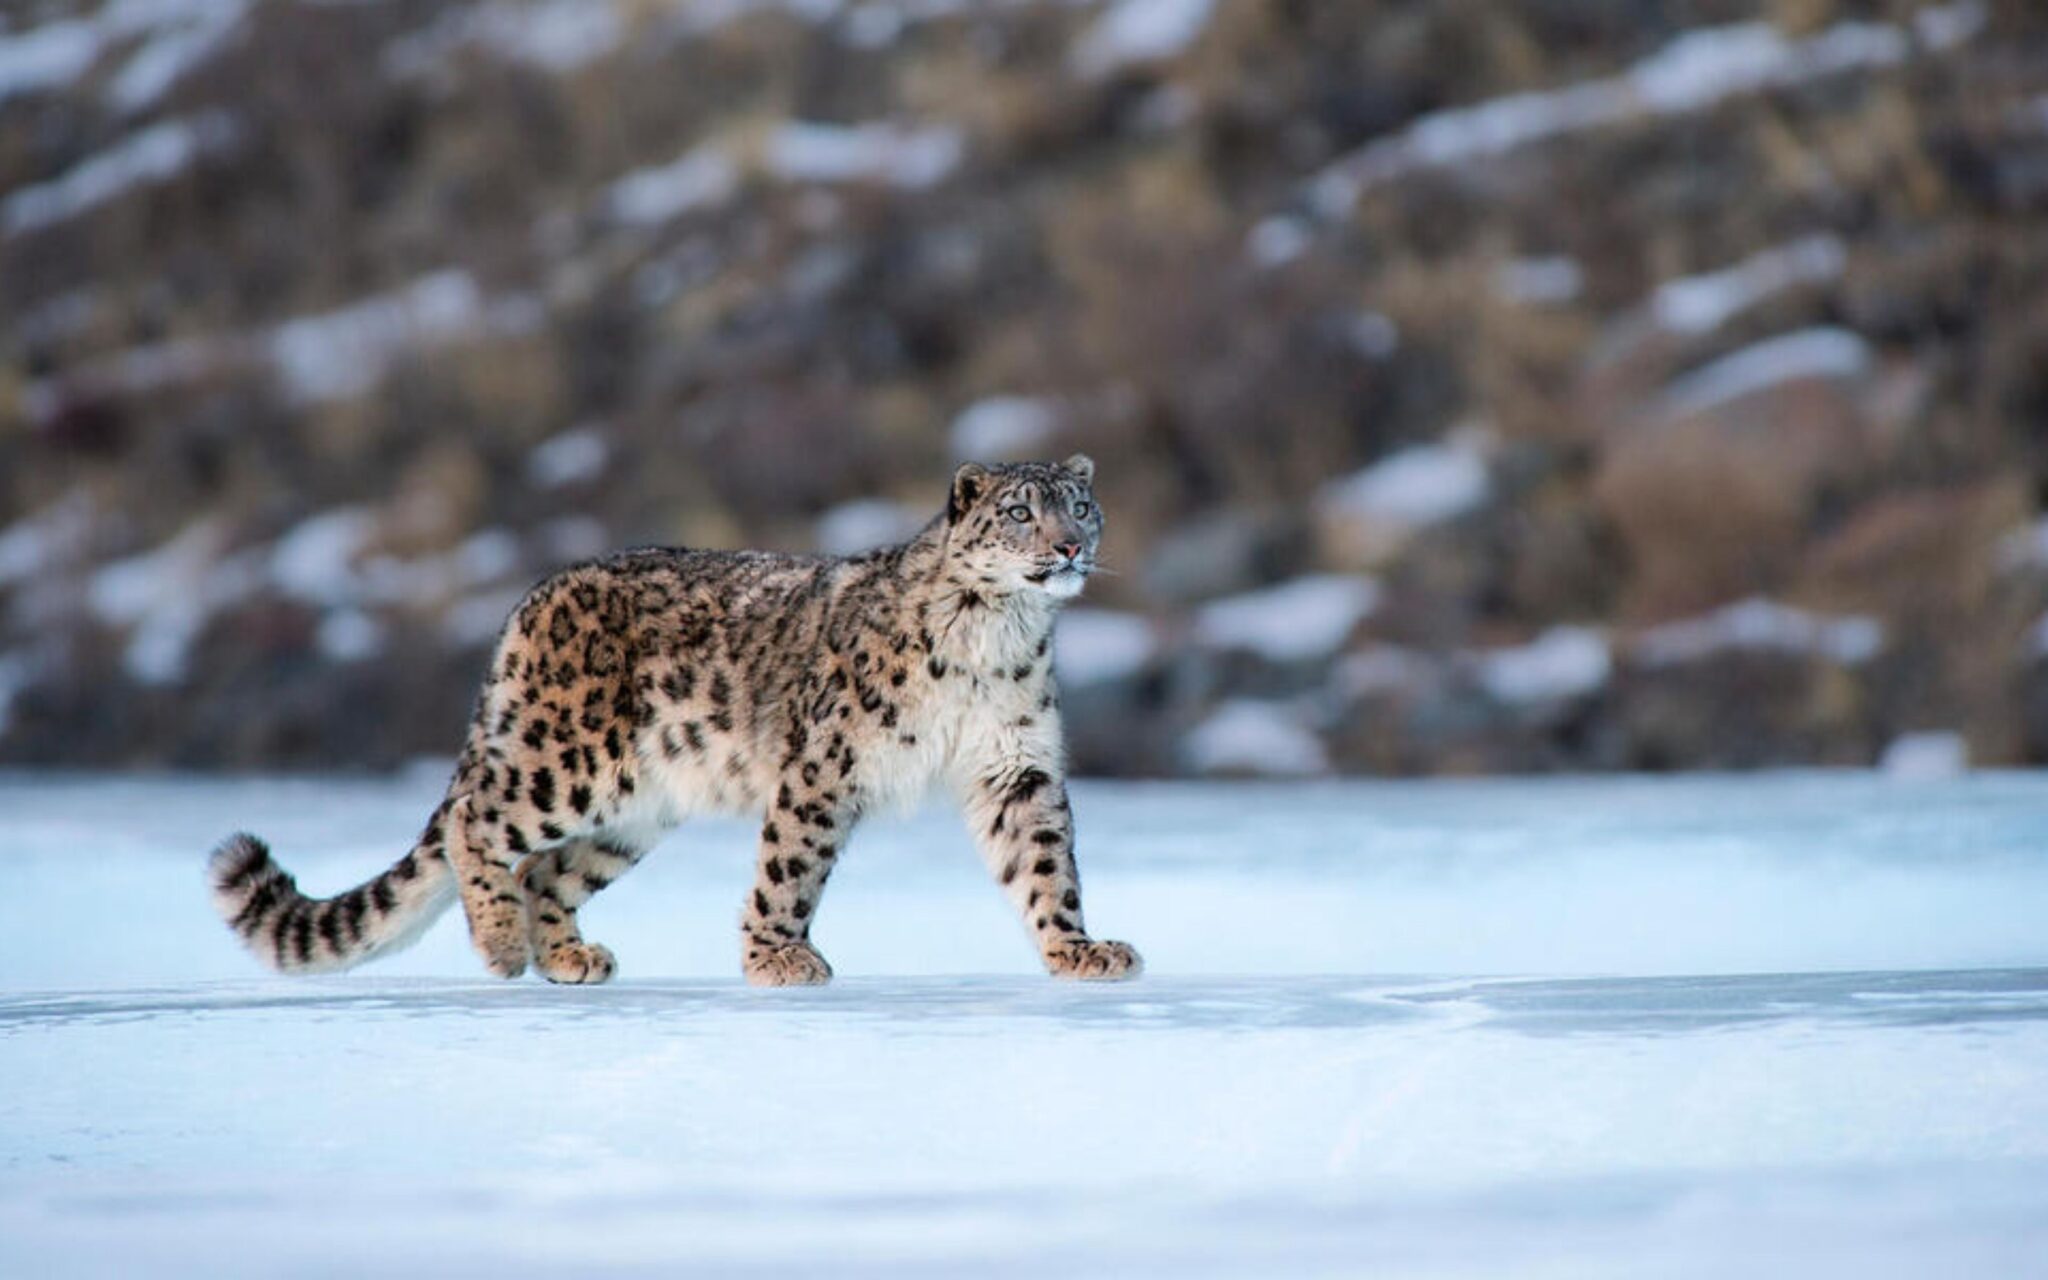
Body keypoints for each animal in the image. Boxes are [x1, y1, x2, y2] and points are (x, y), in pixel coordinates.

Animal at [207, 456, 1141, 986]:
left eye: (1080, 506)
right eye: (1020, 512)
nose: (1068, 546)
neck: (999, 635)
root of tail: (531, 601)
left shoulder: (1015, 765)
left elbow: (1045, 866)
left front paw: (1078, 949)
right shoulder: (824, 765)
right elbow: (791, 867)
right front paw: (776, 958)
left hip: (634, 811)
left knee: (549, 873)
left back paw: (569, 959)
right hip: (564, 765)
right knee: (478, 819)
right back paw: (503, 945)